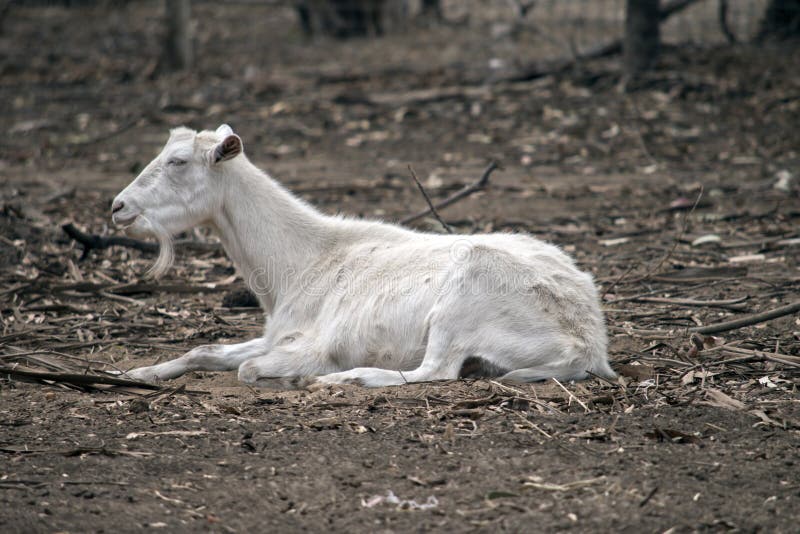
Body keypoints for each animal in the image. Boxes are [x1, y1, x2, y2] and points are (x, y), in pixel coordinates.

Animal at [111, 125, 613, 387]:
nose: (118, 206)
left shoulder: (315, 344)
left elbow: (249, 370)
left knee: (435, 372)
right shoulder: (278, 335)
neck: (298, 265)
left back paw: (344, 379)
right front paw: (137, 370)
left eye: (178, 162)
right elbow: (206, 350)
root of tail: (587, 341)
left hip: (463, 303)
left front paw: (300, 378)